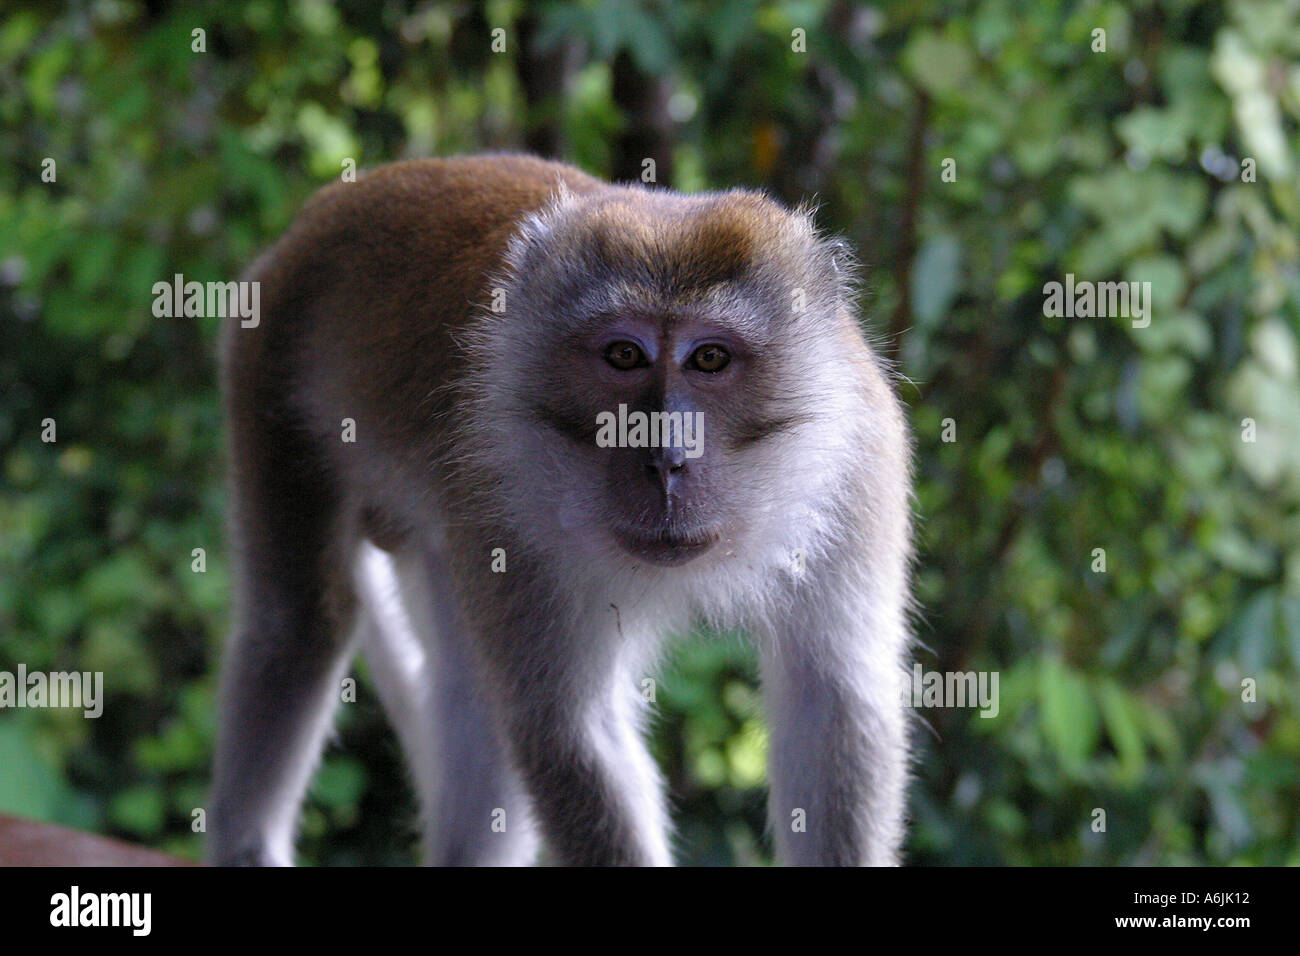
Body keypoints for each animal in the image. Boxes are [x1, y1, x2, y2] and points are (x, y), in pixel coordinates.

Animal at [209, 154, 913, 867]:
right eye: (624, 355)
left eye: (710, 358)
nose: (665, 457)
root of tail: (313, 220)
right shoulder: (505, 496)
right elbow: (566, 732)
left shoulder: (861, 464)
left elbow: (834, 701)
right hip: (268, 371)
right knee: (301, 624)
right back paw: (247, 843)